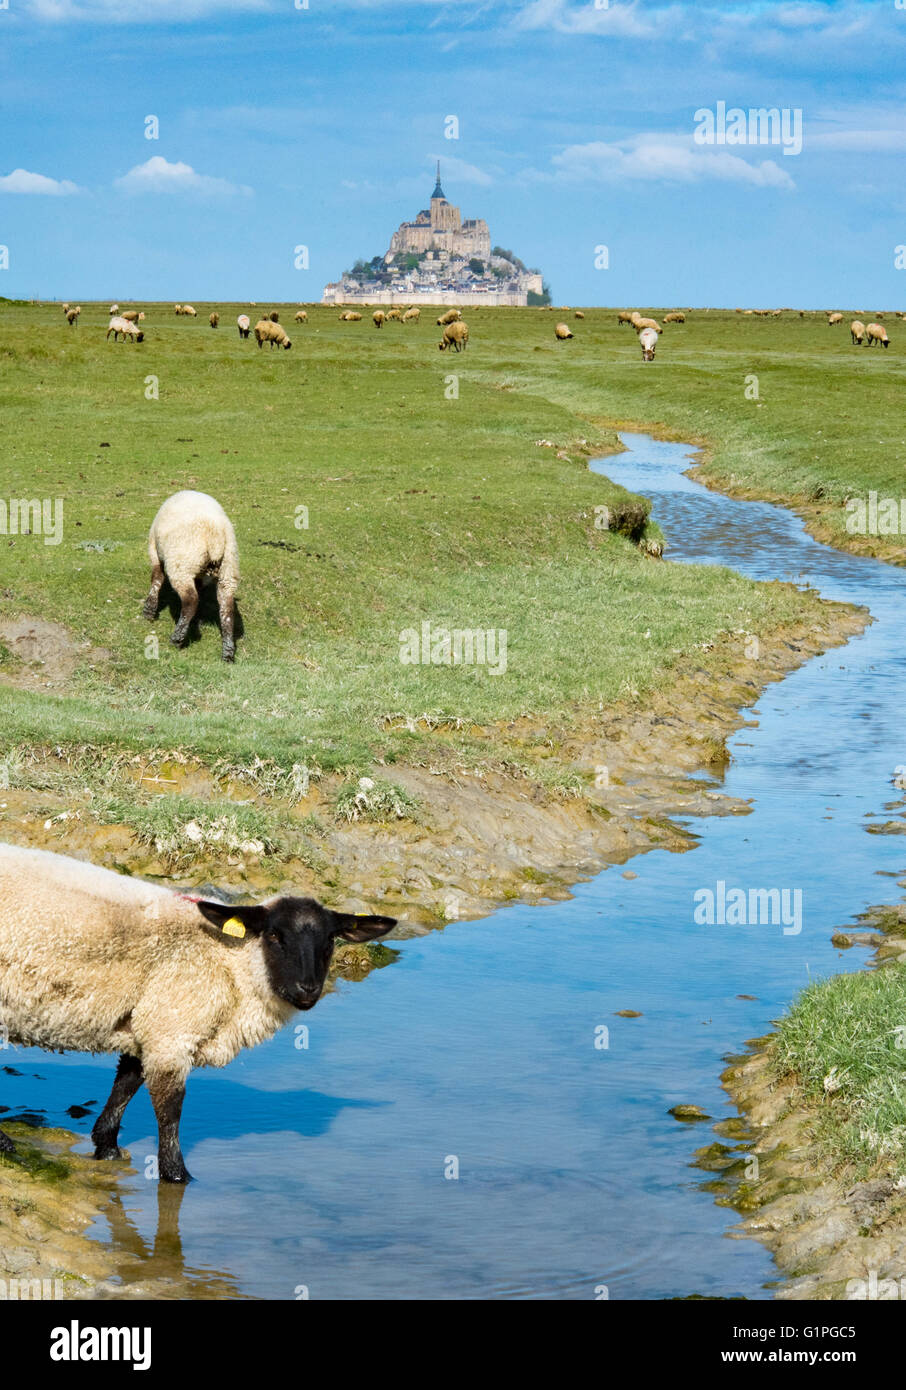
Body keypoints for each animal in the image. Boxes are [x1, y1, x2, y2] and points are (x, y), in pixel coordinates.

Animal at [0, 842, 396, 1183]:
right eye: (274, 936)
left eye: (329, 941)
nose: (307, 990)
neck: (230, 961)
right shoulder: (172, 1030)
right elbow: (169, 1109)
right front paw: (177, 1175)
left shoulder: (150, 1022)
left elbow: (127, 1081)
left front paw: (107, 1147)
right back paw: (7, 1145)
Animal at [143, 490, 240, 662]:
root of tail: (215, 537)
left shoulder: (154, 550)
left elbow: (156, 578)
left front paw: (149, 610)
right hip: (229, 568)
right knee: (227, 608)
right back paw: (228, 652)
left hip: (182, 565)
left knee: (190, 600)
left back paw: (177, 638)